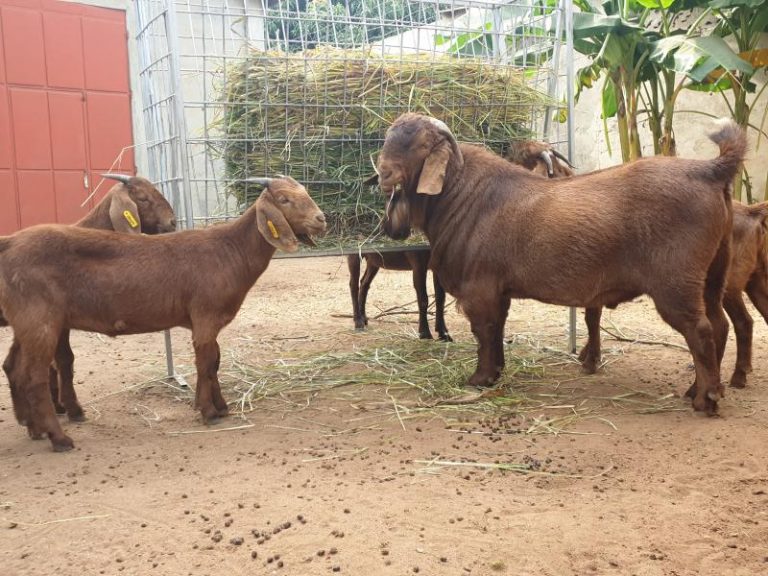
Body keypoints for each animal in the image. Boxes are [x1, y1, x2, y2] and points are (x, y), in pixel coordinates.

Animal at [376, 112, 746, 414]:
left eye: (419, 144)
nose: (383, 173)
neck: (459, 191)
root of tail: (708, 170)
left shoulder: (479, 289)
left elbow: (483, 331)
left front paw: (479, 379)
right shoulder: (498, 290)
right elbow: (497, 330)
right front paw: (496, 373)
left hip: (676, 282)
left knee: (700, 330)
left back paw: (706, 399)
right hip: (713, 273)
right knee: (719, 324)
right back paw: (697, 389)